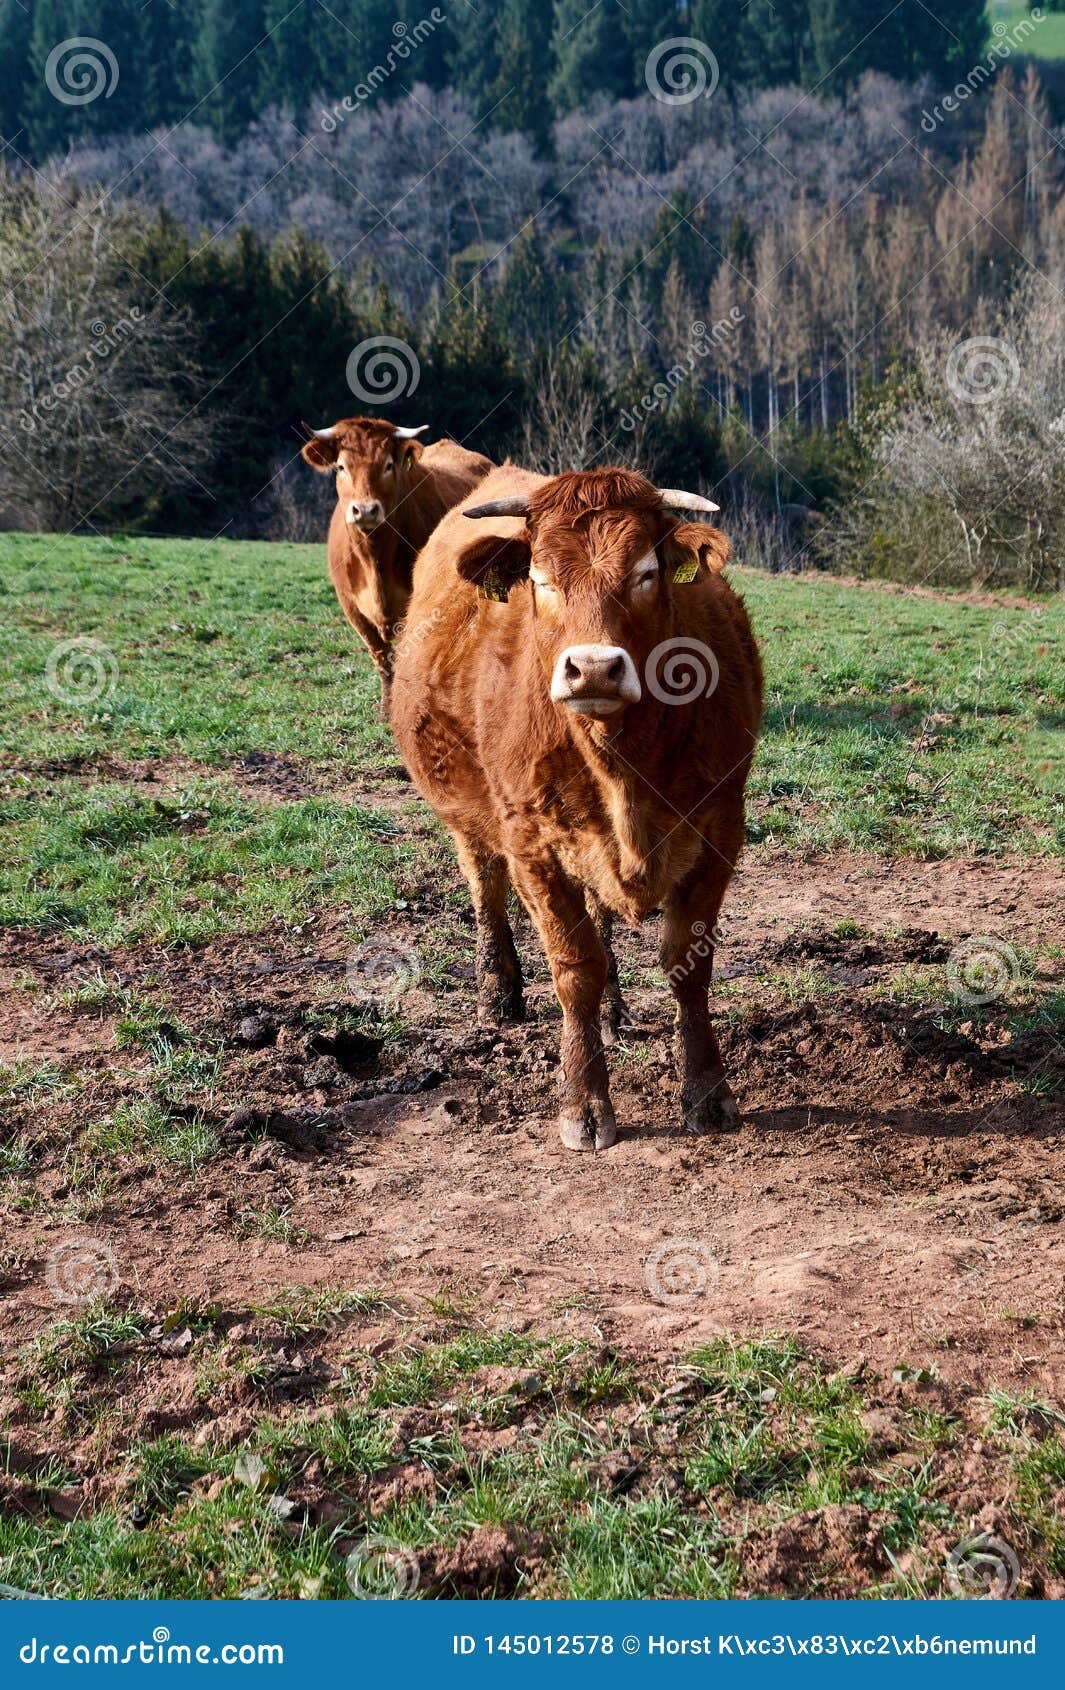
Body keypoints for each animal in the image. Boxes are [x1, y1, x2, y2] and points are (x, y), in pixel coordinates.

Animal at [301, 417, 492, 715]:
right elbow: (381, 657)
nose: (365, 510)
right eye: (341, 467)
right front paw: (385, 709)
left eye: (388, 465)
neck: (374, 560)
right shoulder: (351, 607)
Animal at [390, 465, 763, 1152]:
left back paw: (614, 1012)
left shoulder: (720, 828)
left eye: (646, 571)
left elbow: (686, 965)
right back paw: (498, 993)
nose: (592, 669)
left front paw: (707, 1092)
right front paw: (584, 1101)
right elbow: (574, 968)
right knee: (485, 886)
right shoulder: (531, 843)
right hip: (470, 818)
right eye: (540, 579)